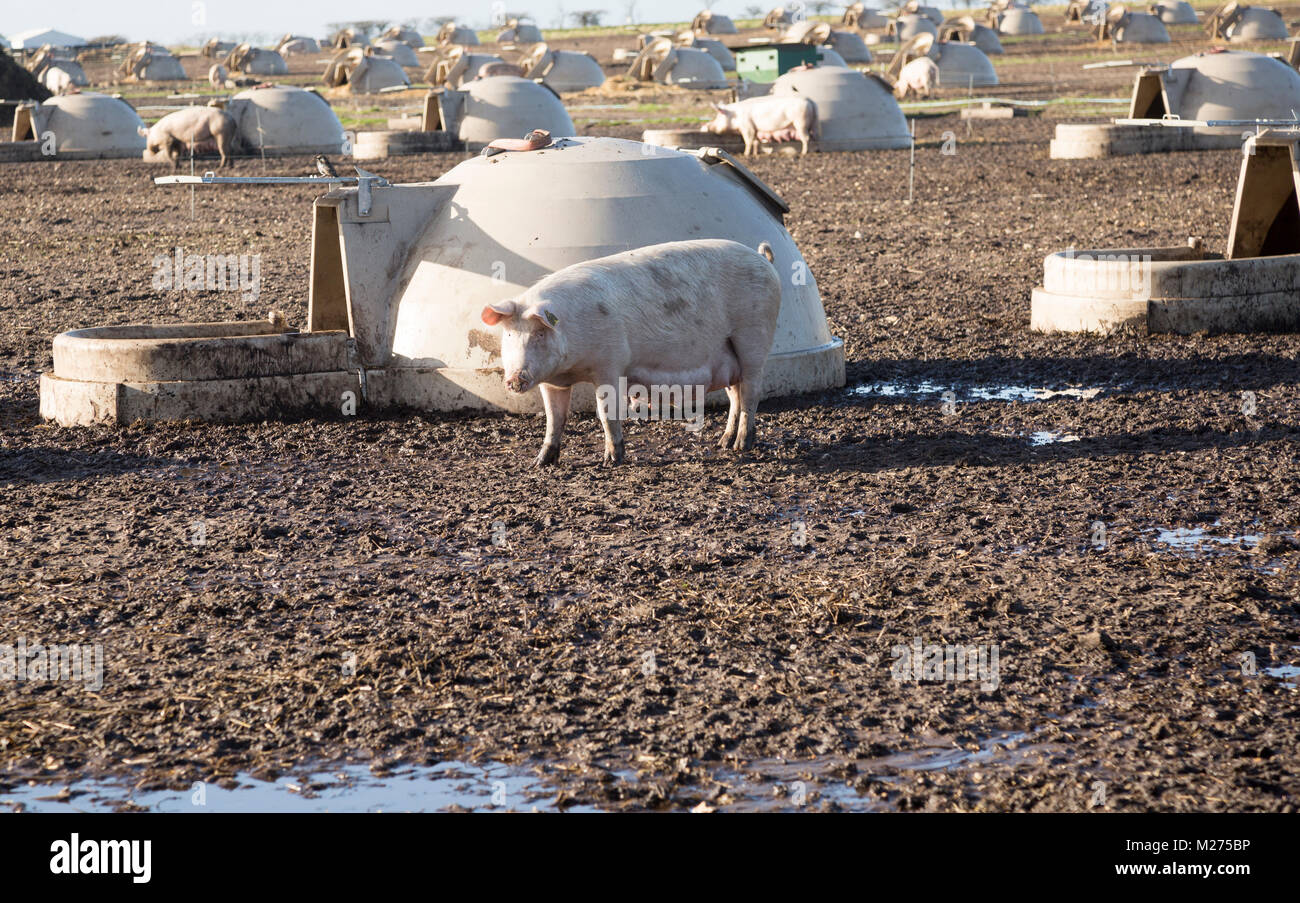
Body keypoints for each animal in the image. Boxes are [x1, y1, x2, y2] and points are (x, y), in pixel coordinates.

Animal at [479, 239, 783, 466]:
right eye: (509, 334)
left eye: (539, 334)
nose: (514, 379)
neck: (571, 368)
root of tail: (763, 259)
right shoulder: (552, 382)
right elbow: (555, 419)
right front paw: (540, 463)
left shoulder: (610, 365)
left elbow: (606, 413)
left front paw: (611, 461)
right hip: (729, 357)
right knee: (736, 396)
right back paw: (724, 443)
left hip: (754, 339)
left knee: (752, 393)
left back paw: (742, 446)